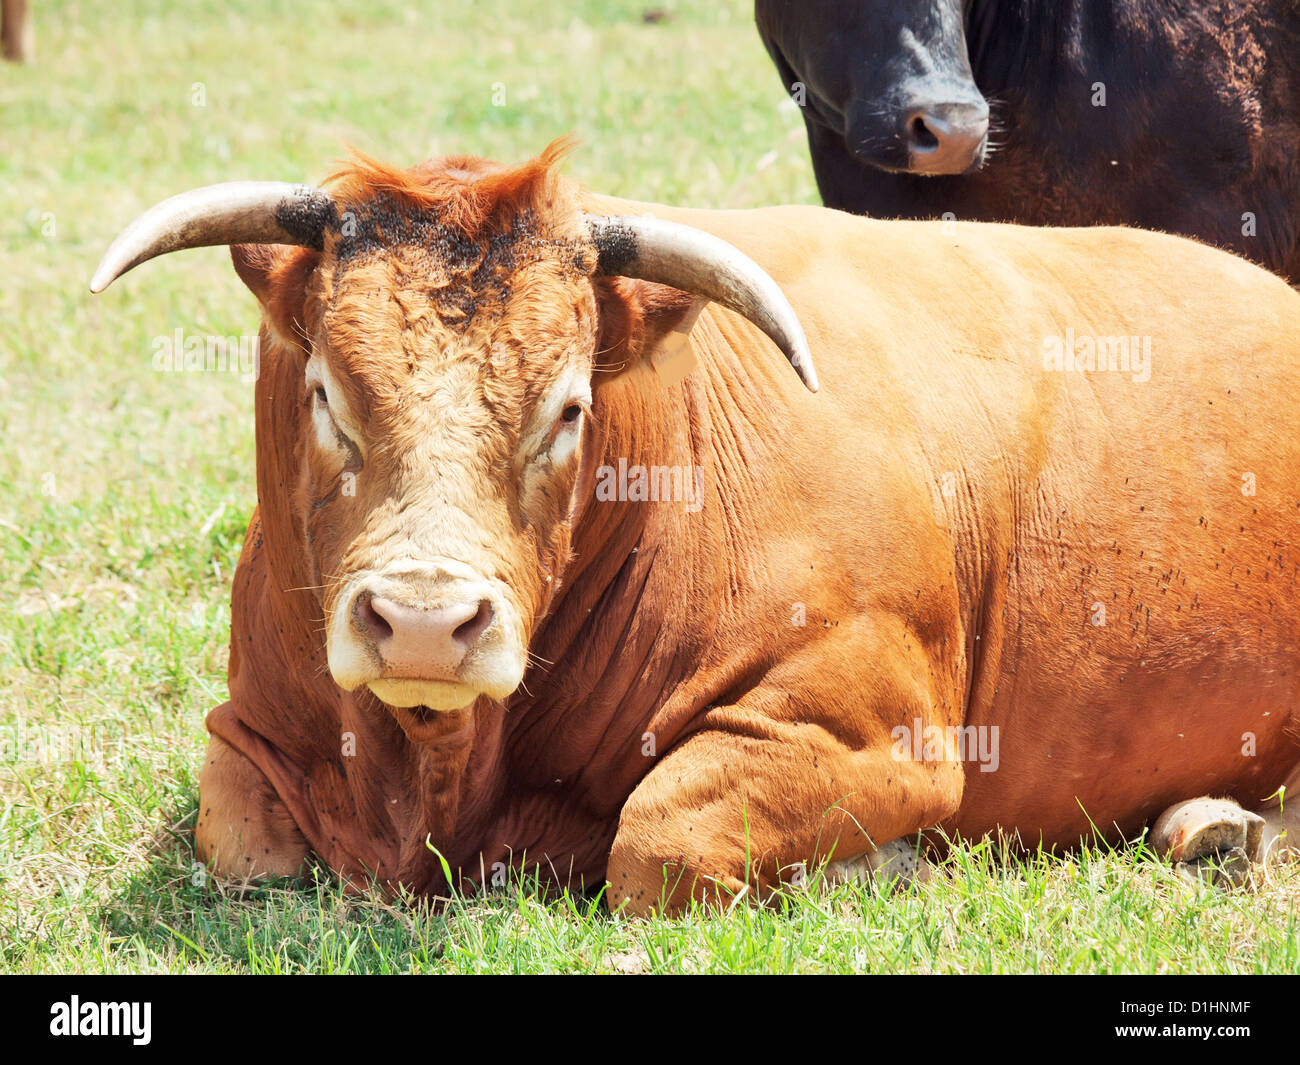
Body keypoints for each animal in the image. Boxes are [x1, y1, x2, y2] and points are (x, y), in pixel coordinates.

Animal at [91, 142, 1300, 915]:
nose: (426, 623)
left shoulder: (869, 731)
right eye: (327, 395)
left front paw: (878, 865)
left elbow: (659, 843)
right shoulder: (247, 730)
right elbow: (242, 847)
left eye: (567, 407)